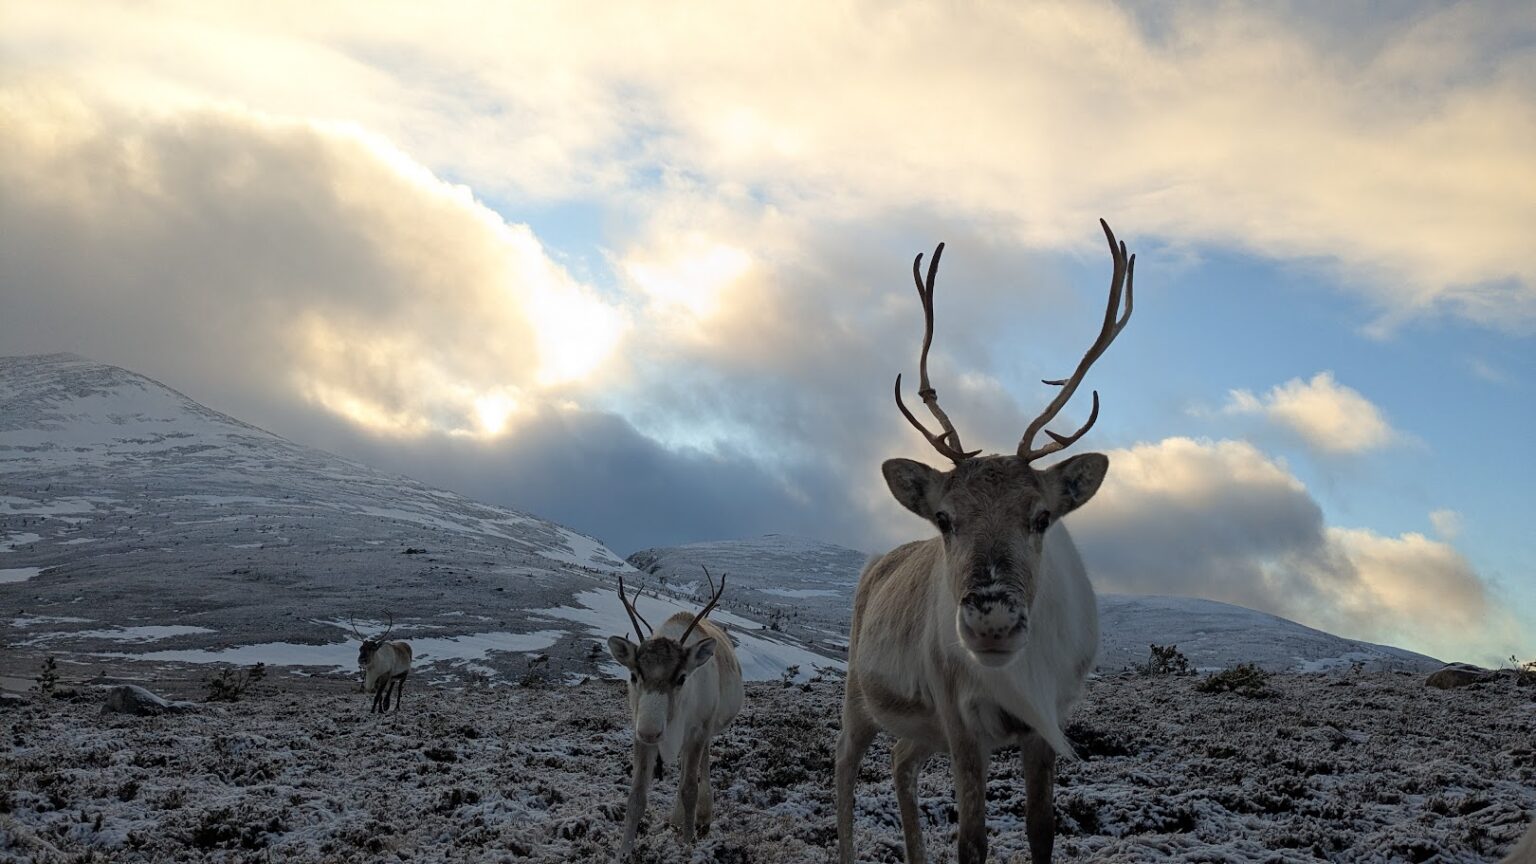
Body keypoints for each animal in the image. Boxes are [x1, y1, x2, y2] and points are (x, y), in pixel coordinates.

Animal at [607, 567, 744, 861]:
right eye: (634, 675)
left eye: (681, 678)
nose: (651, 730)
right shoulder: (640, 735)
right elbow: (636, 796)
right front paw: (624, 851)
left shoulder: (697, 732)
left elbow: (689, 788)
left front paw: (688, 844)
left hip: (707, 730)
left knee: (699, 766)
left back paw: (700, 816)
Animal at [836, 219, 1135, 864]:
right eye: (945, 519)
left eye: (1042, 517)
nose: (991, 617)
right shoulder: (957, 717)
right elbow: (971, 840)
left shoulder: (1048, 719)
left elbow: (1042, 828)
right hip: (860, 693)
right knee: (844, 766)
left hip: (919, 728)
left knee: (900, 763)